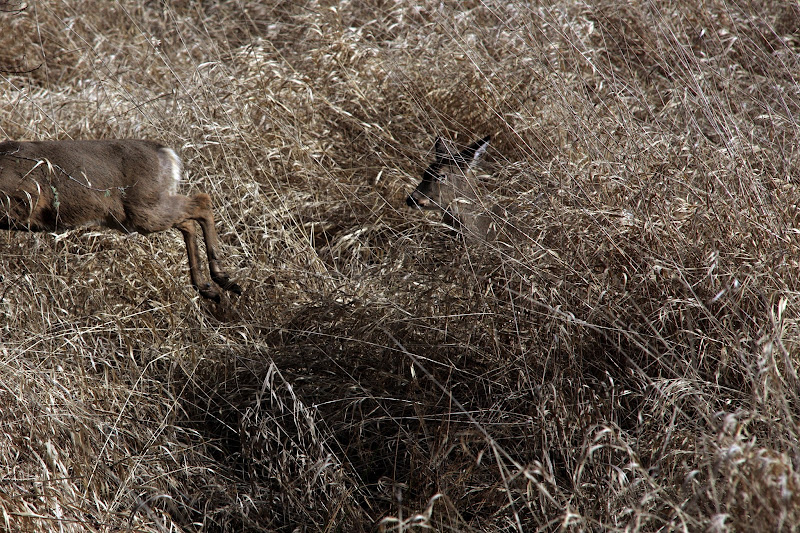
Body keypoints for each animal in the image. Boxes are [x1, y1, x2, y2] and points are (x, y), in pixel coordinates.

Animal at [0, 139, 242, 301]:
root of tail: (166, 153)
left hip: (142, 210)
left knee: (202, 201)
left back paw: (224, 280)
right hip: (143, 209)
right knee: (188, 221)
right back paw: (209, 288)